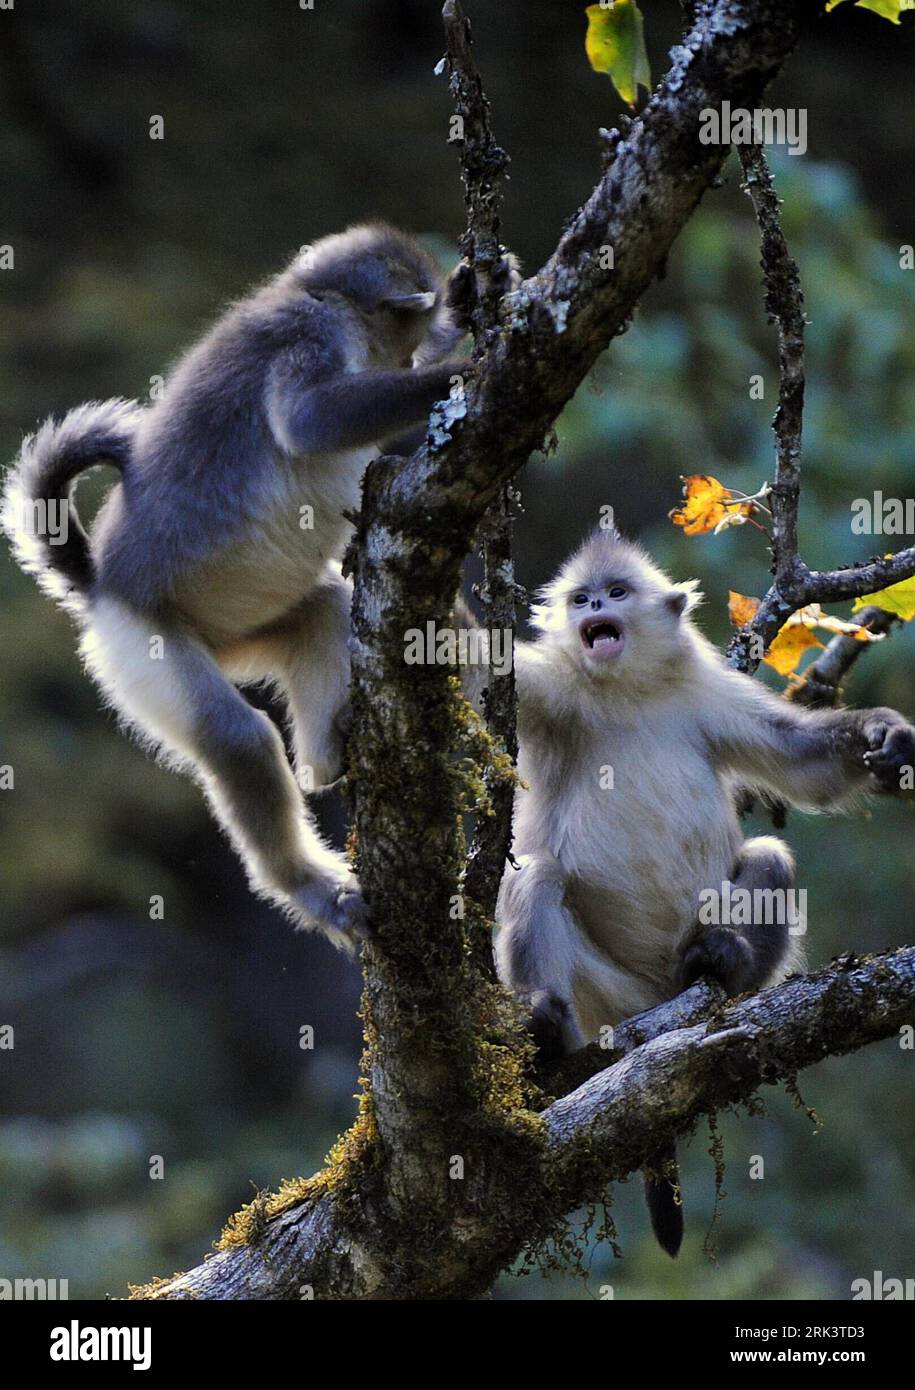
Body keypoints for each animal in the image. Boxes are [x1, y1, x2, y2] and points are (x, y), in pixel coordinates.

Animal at [3, 223, 475, 949]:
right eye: (403, 340)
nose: (412, 355)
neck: (315, 293)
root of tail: (102, 588)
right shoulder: (308, 333)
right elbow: (310, 422)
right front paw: (455, 371)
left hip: (240, 634)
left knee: (323, 609)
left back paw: (325, 757)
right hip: (143, 648)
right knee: (239, 740)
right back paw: (309, 885)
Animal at [495, 526, 915, 1254]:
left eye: (616, 592)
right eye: (579, 598)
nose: (592, 610)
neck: (624, 690)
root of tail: (651, 1004)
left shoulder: (705, 692)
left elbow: (804, 764)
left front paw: (886, 736)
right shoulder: (548, 693)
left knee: (768, 857)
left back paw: (724, 964)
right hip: (599, 995)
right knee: (540, 875)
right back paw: (544, 1032)